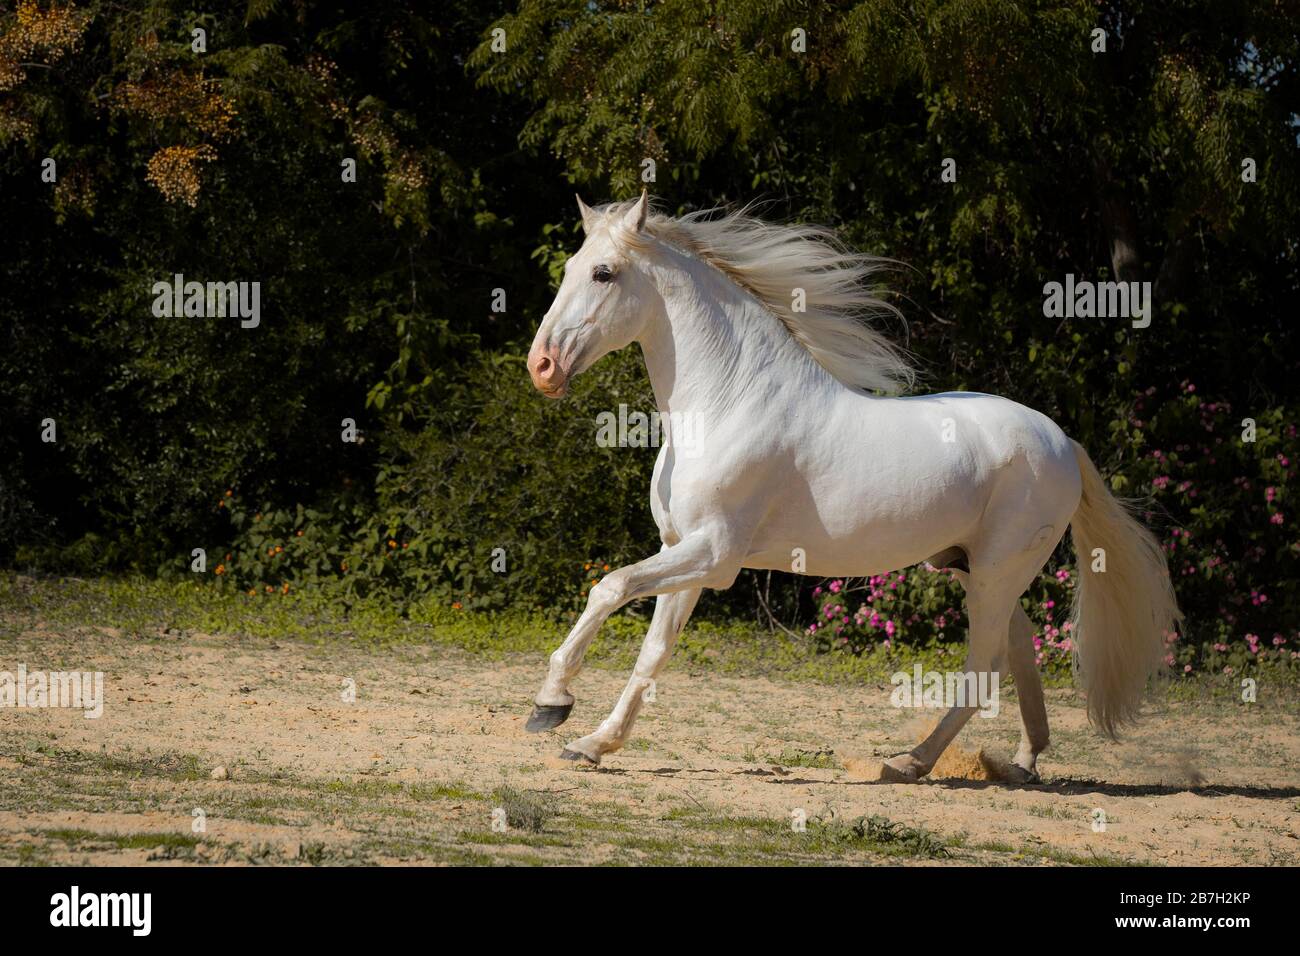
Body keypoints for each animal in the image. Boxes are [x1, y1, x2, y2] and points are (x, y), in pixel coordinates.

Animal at [522, 191, 1181, 783]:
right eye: (570, 267)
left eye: (604, 273)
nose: (542, 367)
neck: (727, 402)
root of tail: (1061, 441)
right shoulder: (682, 551)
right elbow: (653, 652)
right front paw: (592, 743)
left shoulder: (714, 554)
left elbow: (609, 588)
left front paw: (551, 705)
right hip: (976, 567)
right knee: (1020, 652)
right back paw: (1021, 762)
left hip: (998, 572)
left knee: (984, 666)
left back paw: (909, 762)